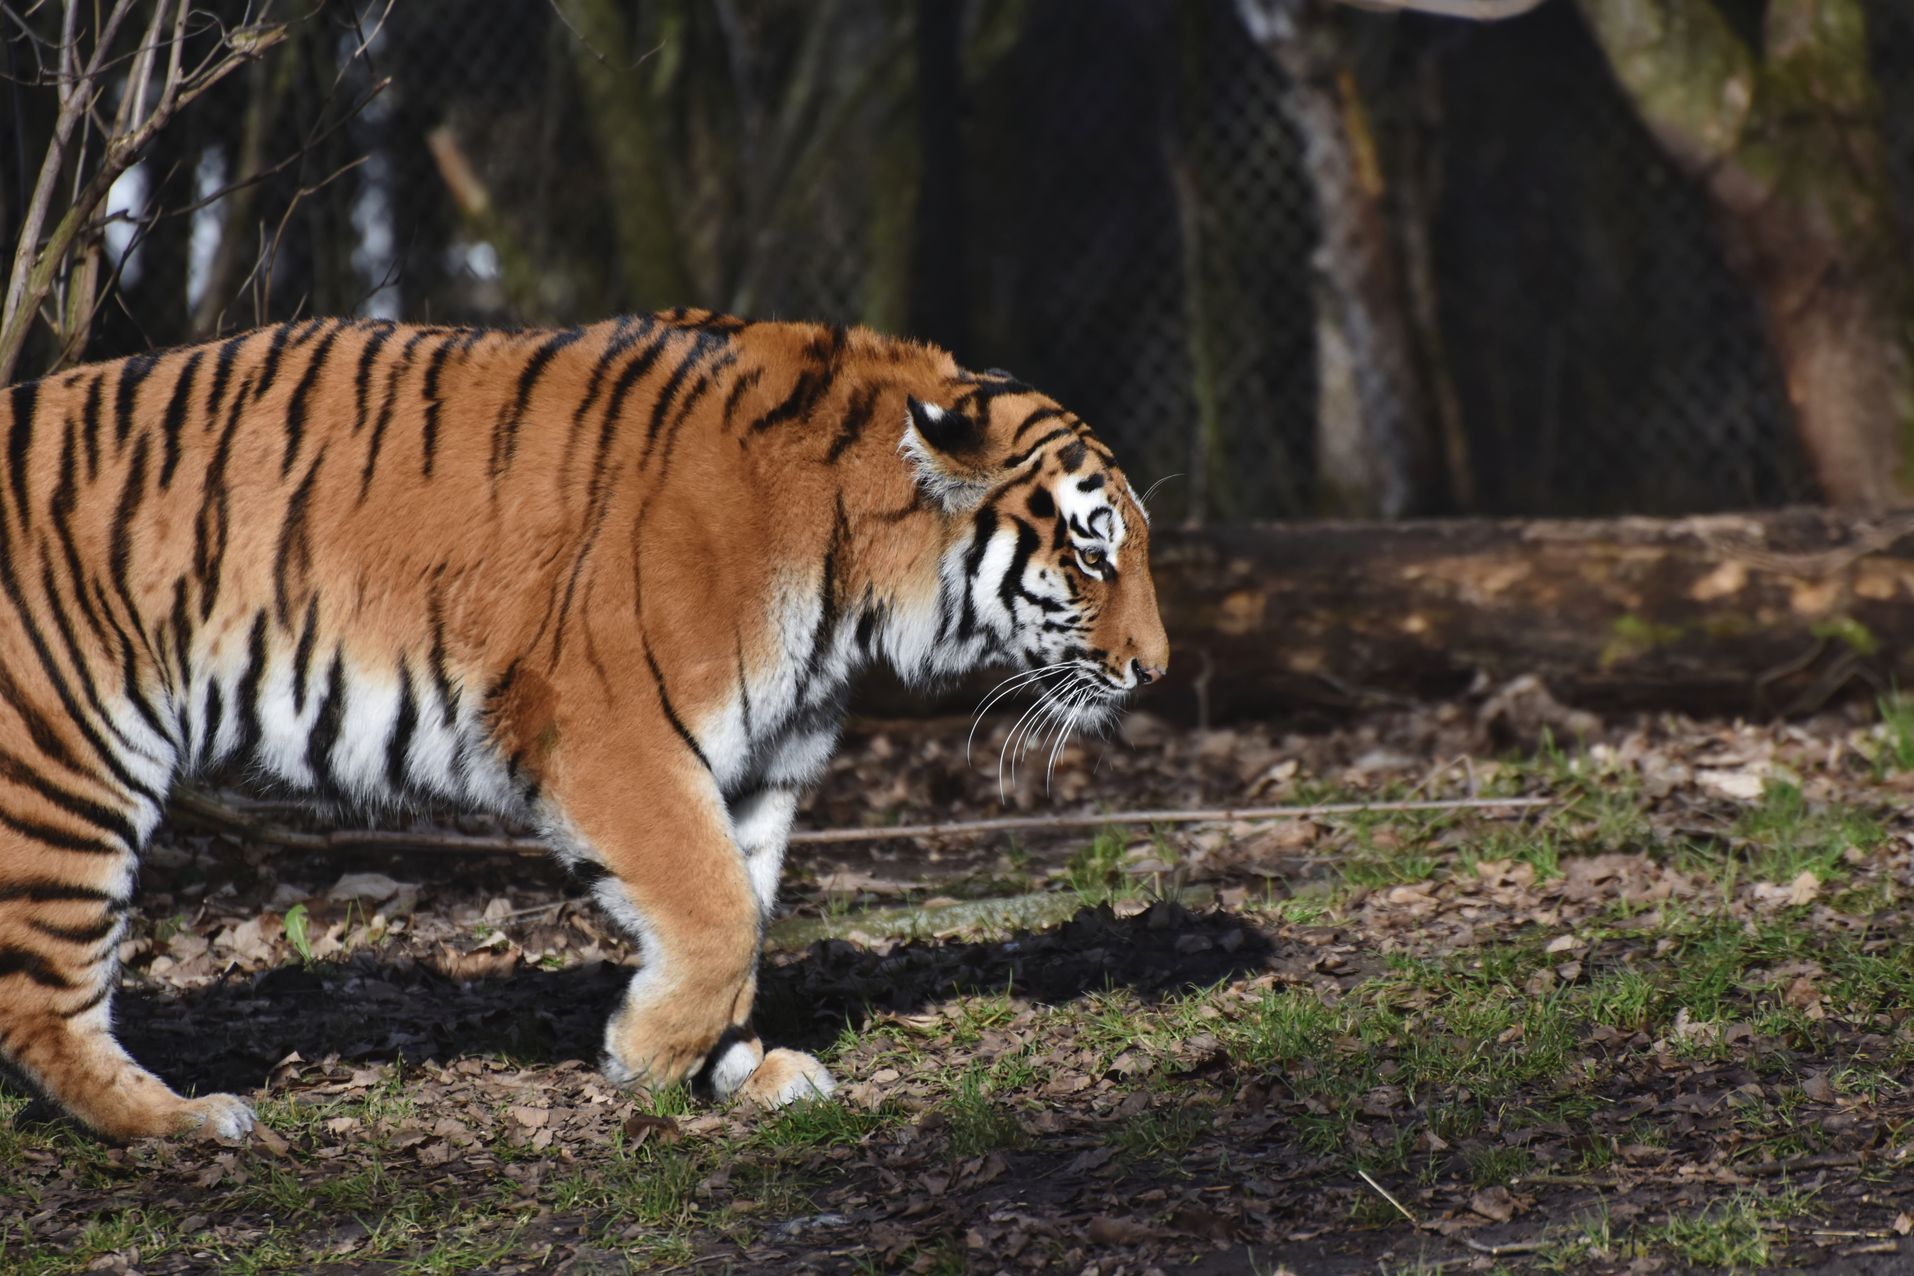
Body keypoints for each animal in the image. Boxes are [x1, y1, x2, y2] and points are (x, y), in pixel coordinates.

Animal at [0, 309, 1168, 1141]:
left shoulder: (759, 765)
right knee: (42, 996)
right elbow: (715, 913)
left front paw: (741, 1071)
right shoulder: (614, 734)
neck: (856, 583)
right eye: (1093, 551)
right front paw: (645, 1059)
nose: (1155, 669)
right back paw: (185, 1121)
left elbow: (742, 915)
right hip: (74, 766)